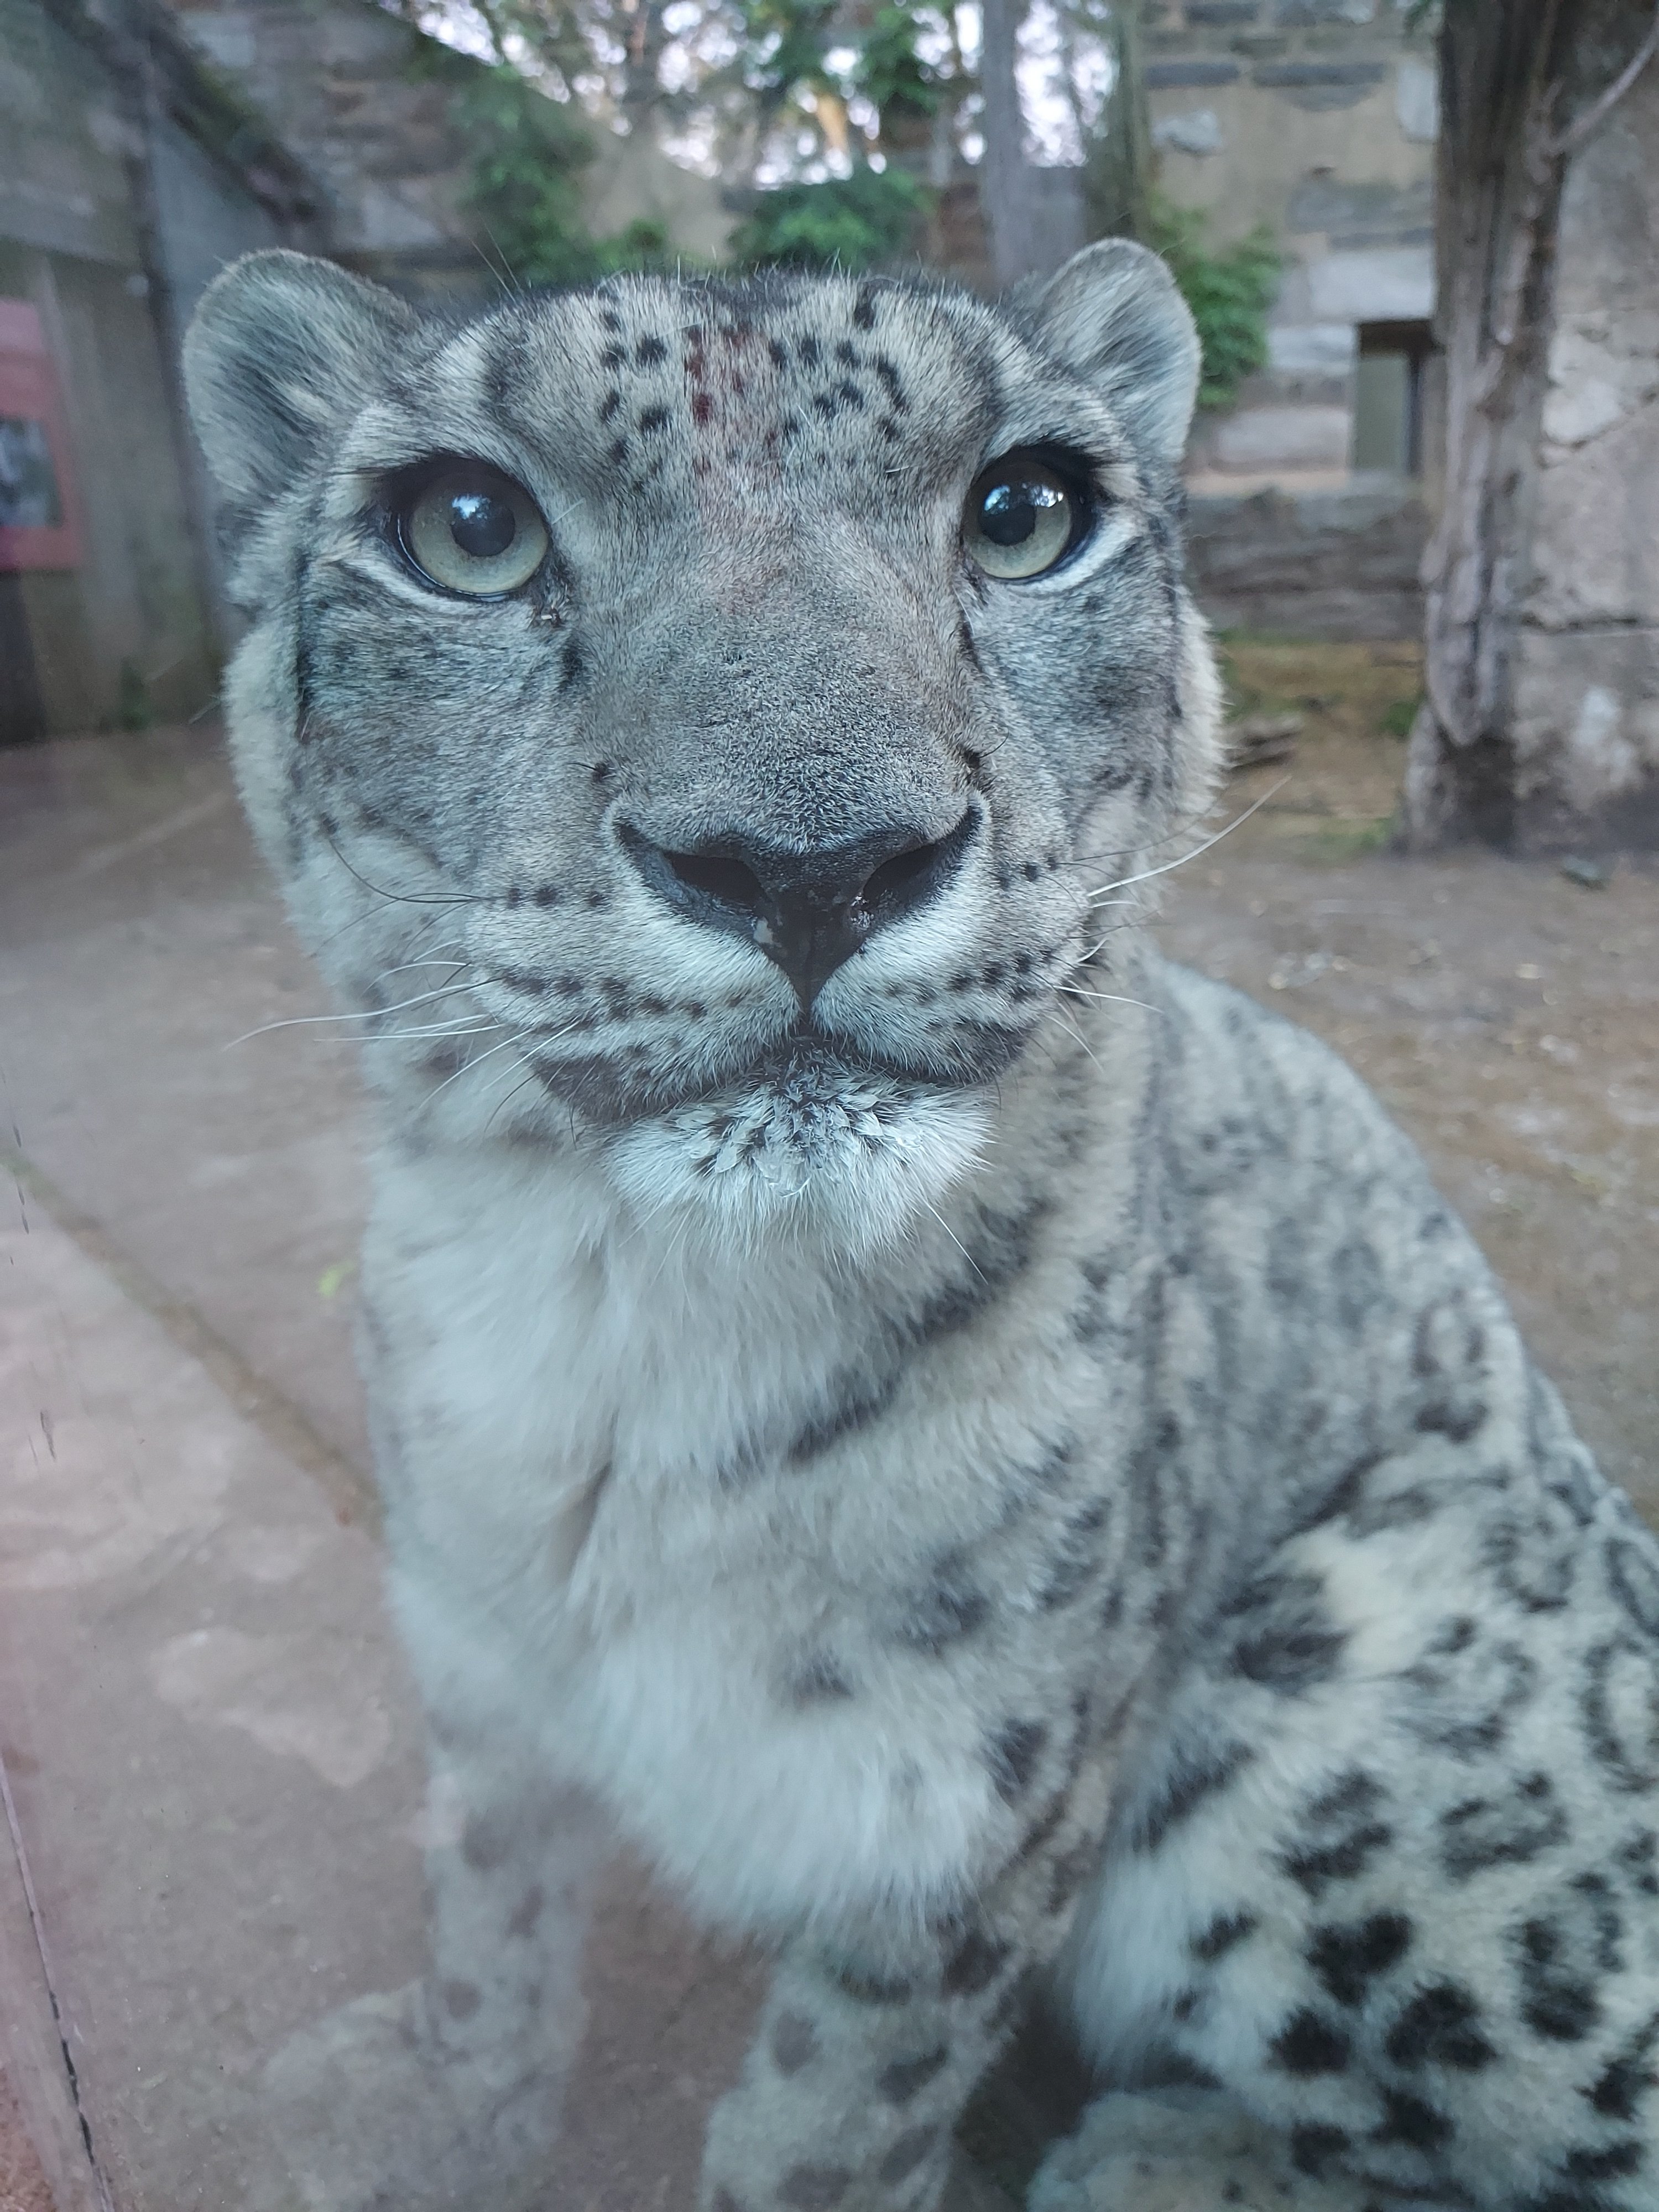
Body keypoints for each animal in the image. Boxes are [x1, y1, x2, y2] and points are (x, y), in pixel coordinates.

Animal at [183, 240, 1659, 2212]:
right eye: (467, 525)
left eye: (1026, 510)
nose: (811, 857)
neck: (619, 1345)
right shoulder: (481, 1682)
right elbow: (486, 1921)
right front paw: (428, 2107)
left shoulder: (954, 1826)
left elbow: (823, 2127)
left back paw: (1149, 2156)